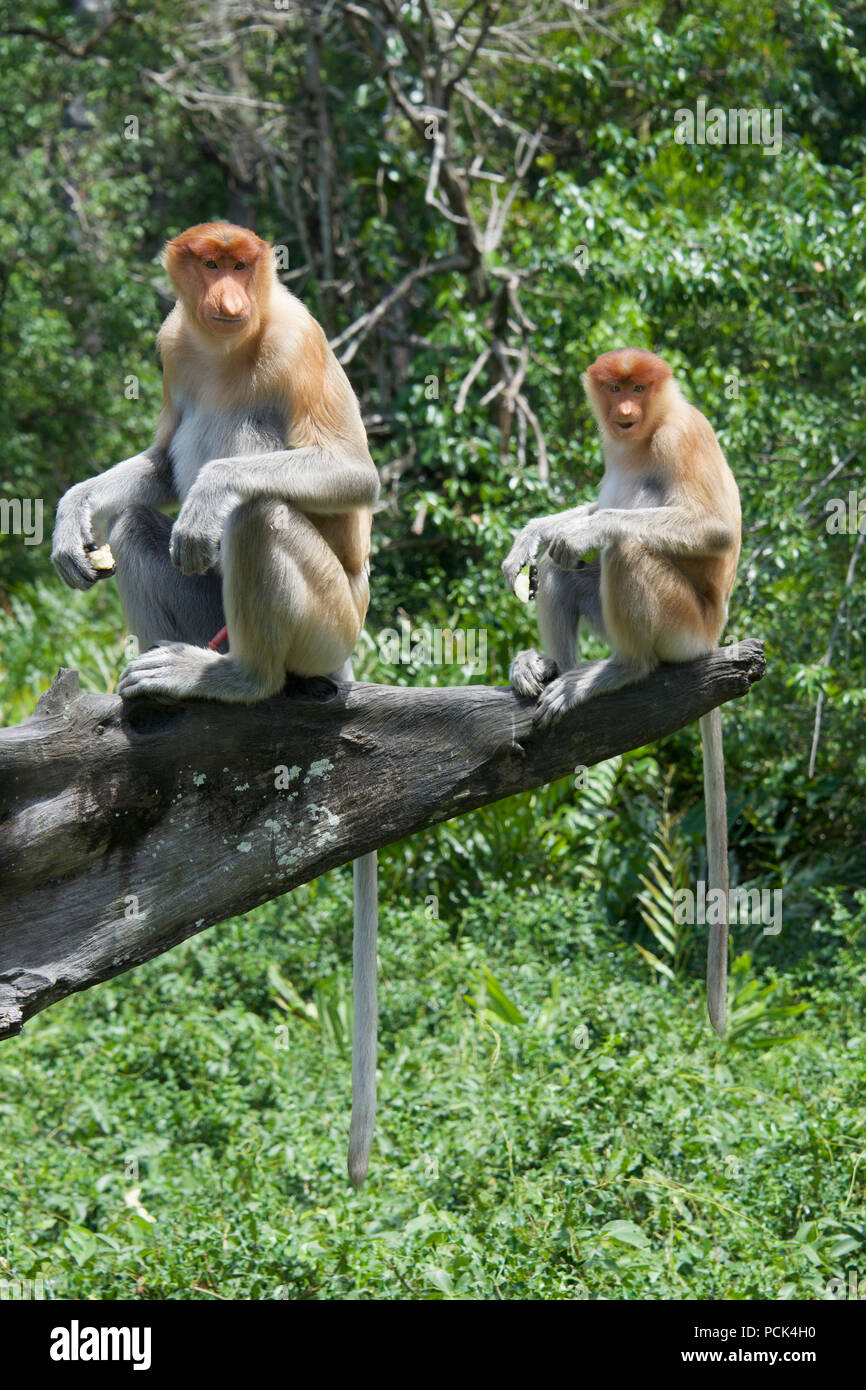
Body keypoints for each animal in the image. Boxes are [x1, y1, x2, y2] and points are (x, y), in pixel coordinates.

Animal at [51, 222, 380, 1184]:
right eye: (208, 264)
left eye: (243, 264)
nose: (230, 297)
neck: (230, 345)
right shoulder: (172, 341)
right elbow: (160, 466)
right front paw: (71, 516)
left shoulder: (297, 338)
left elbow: (349, 472)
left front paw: (209, 493)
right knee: (136, 528)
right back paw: (169, 684)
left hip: (327, 622)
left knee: (260, 513)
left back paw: (243, 680)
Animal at [502, 348, 741, 1036]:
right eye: (614, 388)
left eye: (639, 385)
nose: (627, 411)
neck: (644, 435)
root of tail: (714, 638)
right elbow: (569, 530)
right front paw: (533, 531)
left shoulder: (682, 434)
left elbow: (713, 527)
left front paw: (583, 529)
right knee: (562, 574)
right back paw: (547, 668)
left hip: (682, 624)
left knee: (629, 547)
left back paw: (618, 670)